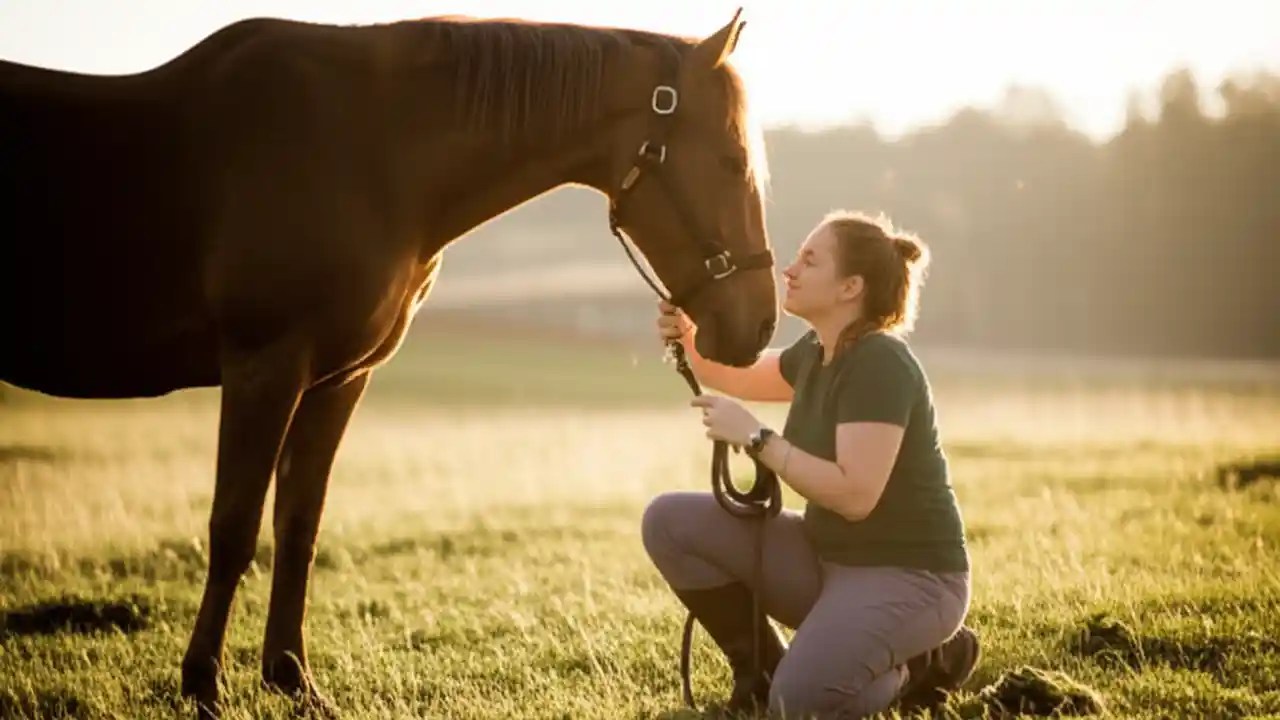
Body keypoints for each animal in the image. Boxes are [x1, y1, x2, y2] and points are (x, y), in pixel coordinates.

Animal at [0, 10, 777, 717]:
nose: (760, 325)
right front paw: (203, 687)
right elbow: (233, 527)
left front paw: (293, 681)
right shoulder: (263, 367)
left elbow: (298, 526)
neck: (368, 152)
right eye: (732, 163)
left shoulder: (337, 380)